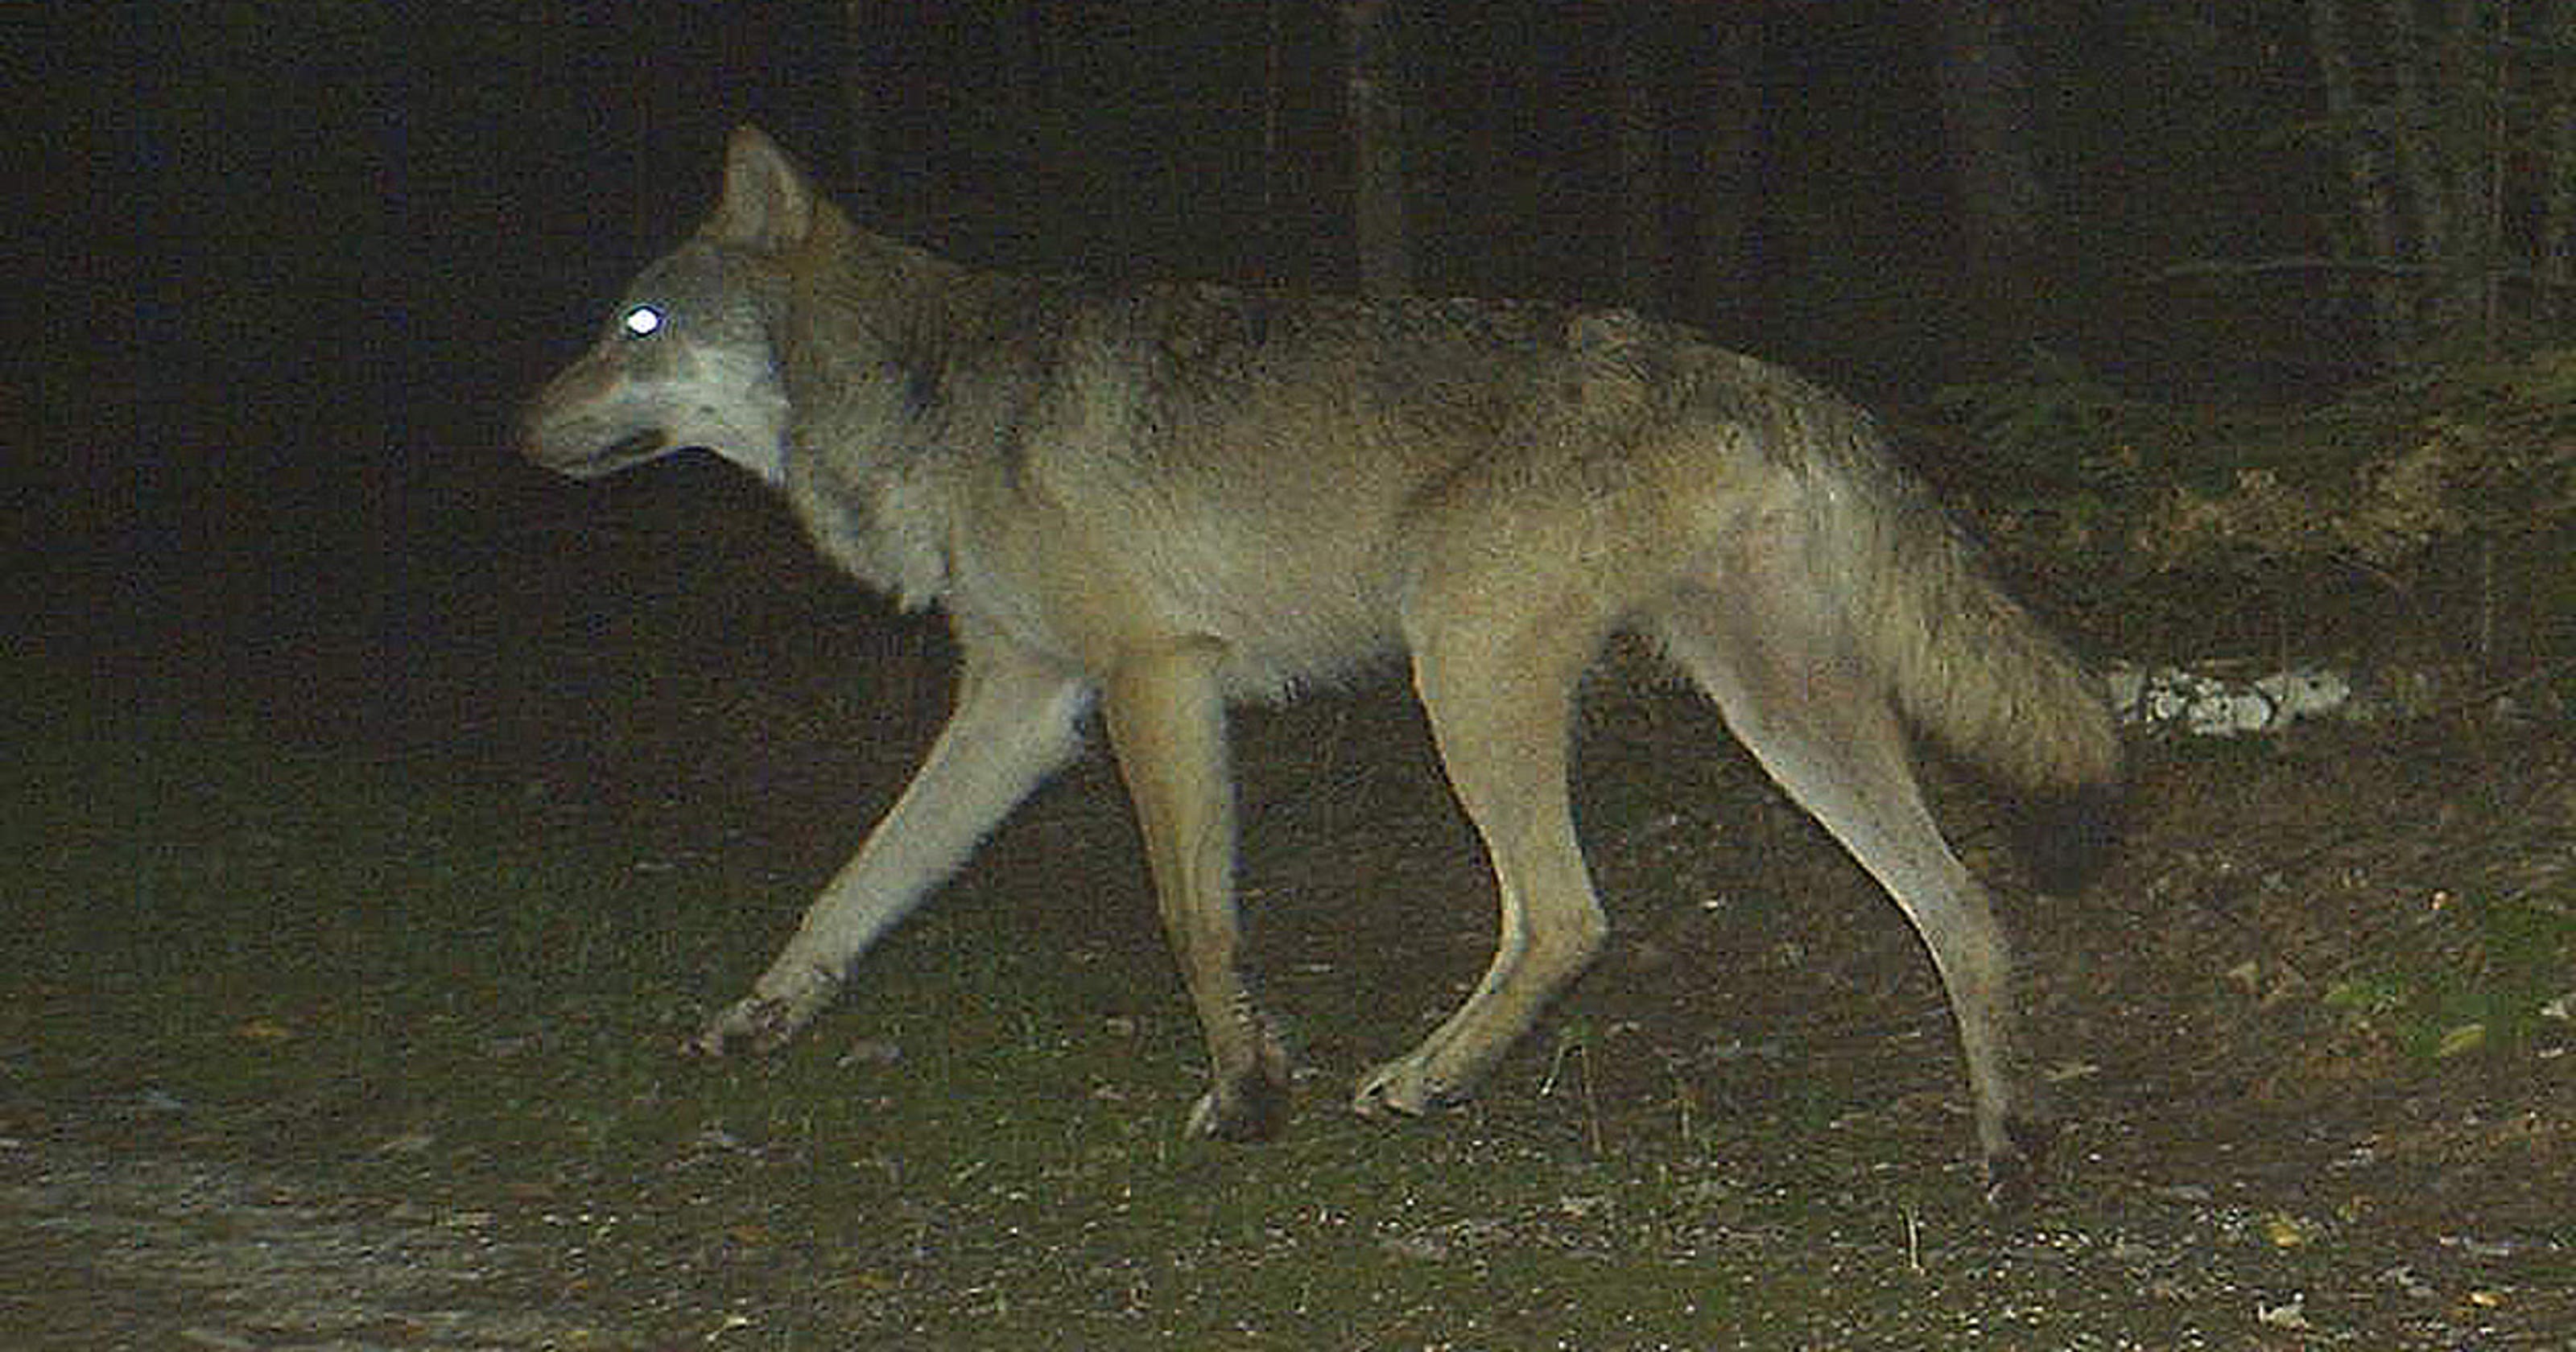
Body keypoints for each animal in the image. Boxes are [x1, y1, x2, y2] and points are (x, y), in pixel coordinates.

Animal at [522, 125, 2118, 1202]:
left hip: (1463, 672)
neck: (931, 398)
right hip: (1780, 719)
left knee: (1568, 915)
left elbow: (1192, 918)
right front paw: (757, 1018)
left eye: (636, 328)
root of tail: (1759, 374)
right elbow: (857, 885)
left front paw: (1246, 1094)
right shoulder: (1020, 704)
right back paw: (2010, 1144)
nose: (515, 431)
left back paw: (1425, 1079)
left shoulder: (1155, 678)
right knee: (1959, 908)